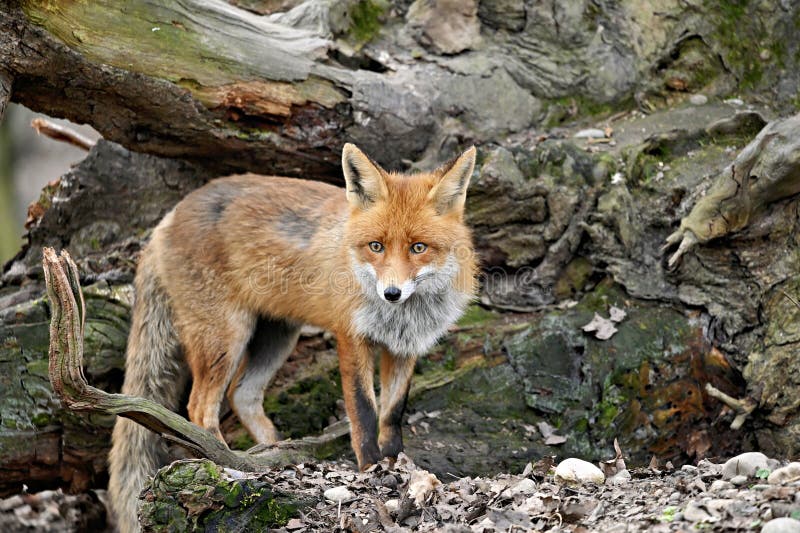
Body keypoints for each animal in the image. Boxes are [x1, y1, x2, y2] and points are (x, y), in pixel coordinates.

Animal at [107, 143, 477, 532]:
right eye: (376, 246)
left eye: (418, 248)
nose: (391, 293)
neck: (402, 315)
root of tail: (168, 218)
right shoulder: (351, 337)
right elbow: (364, 410)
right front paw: (371, 469)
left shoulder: (404, 347)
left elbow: (391, 414)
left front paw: (395, 464)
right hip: (227, 336)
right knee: (199, 406)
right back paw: (223, 460)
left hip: (277, 337)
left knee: (243, 396)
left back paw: (271, 454)